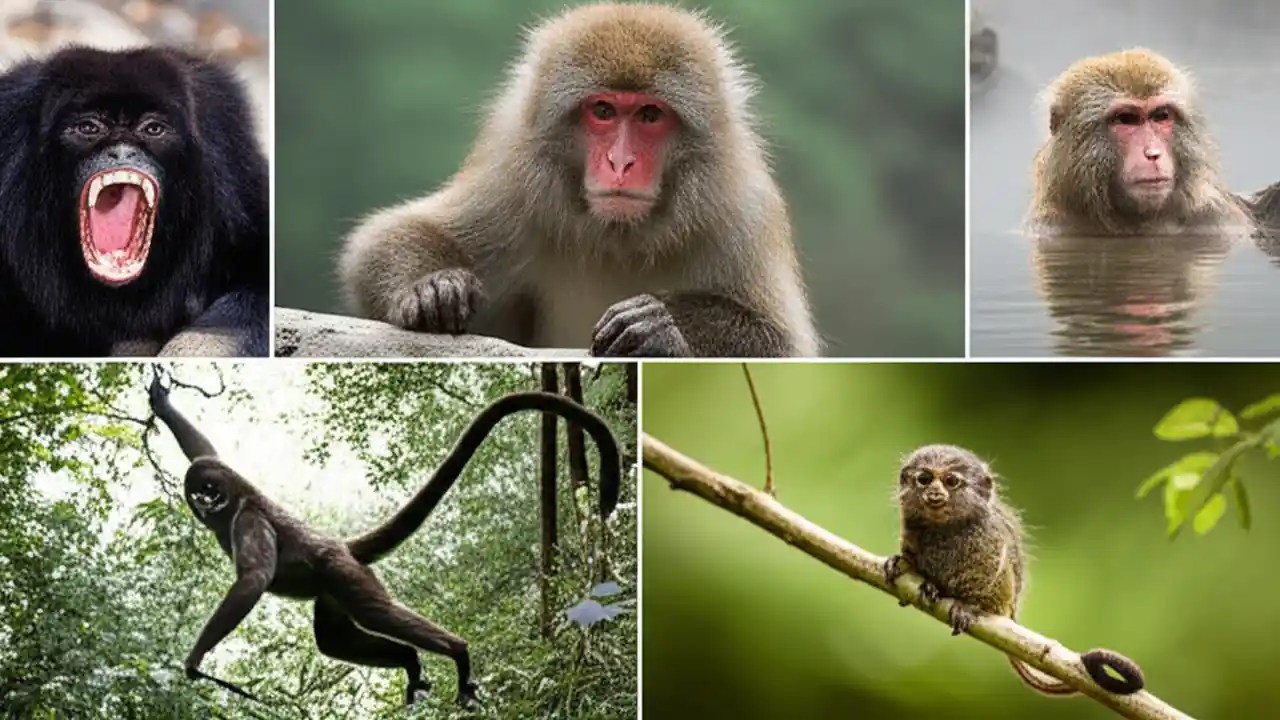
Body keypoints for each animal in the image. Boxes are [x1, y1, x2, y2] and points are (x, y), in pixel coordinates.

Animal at [147, 376, 621, 706]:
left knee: (375, 613)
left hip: (343, 575)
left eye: (211, 491)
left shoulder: (248, 517)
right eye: (198, 492)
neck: (232, 506)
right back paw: (410, 660)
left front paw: (195, 658)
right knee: (333, 640)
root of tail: (340, 546)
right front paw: (163, 404)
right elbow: (202, 446)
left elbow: (254, 579)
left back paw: (458, 650)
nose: (205, 504)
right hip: (334, 590)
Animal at [339, 3, 819, 358]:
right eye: (602, 111)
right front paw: (433, 288)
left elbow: (781, 345)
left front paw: (658, 329)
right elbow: (390, 236)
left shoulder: (742, 209)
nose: (620, 162)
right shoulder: (511, 178)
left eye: (650, 115)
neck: (619, 237)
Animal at [883, 444, 1145, 696]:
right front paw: (902, 563)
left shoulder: (987, 539)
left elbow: (991, 569)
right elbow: (910, 555)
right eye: (924, 479)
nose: (935, 492)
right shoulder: (911, 526)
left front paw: (968, 606)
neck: (944, 528)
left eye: (951, 481)